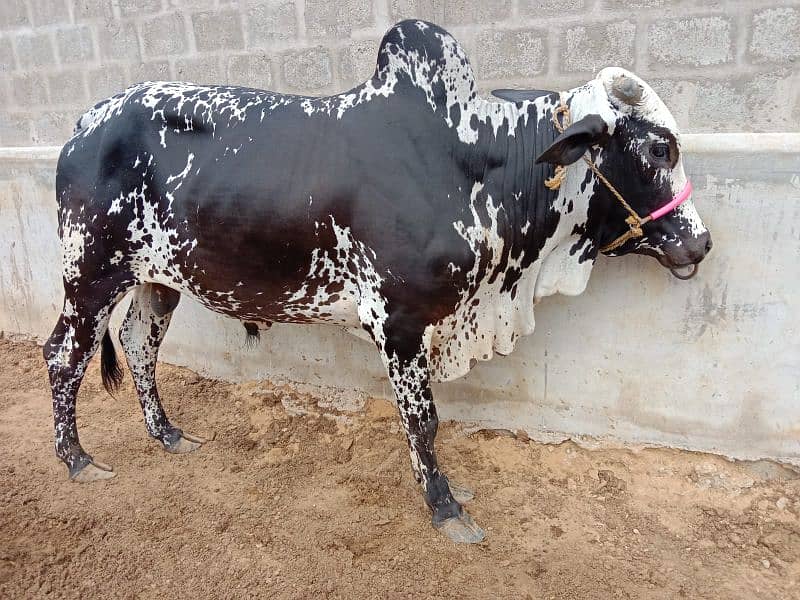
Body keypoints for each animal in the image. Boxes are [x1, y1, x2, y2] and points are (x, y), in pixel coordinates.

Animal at [44, 20, 711, 543]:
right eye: (660, 148)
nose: (700, 242)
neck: (469, 163)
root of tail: (82, 124)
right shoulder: (398, 321)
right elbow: (423, 420)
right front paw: (445, 506)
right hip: (89, 274)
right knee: (63, 356)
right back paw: (77, 459)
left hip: (158, 281)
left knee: (138, 343)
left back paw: (168, 434)